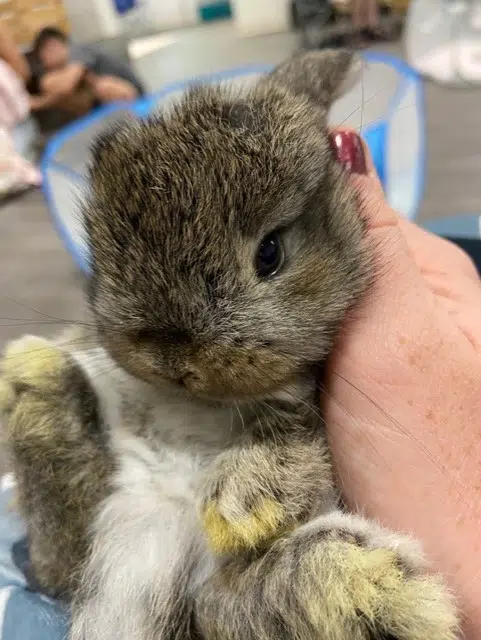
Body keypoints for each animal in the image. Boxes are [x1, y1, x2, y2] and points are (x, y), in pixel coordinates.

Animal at [0, 50, 458, 640]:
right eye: (105, 249)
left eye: (270, 254)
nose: (172, 357)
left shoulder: (296, 406)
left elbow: (292, 432)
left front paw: (239, 508)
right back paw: (35, 375)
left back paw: (383, 595)